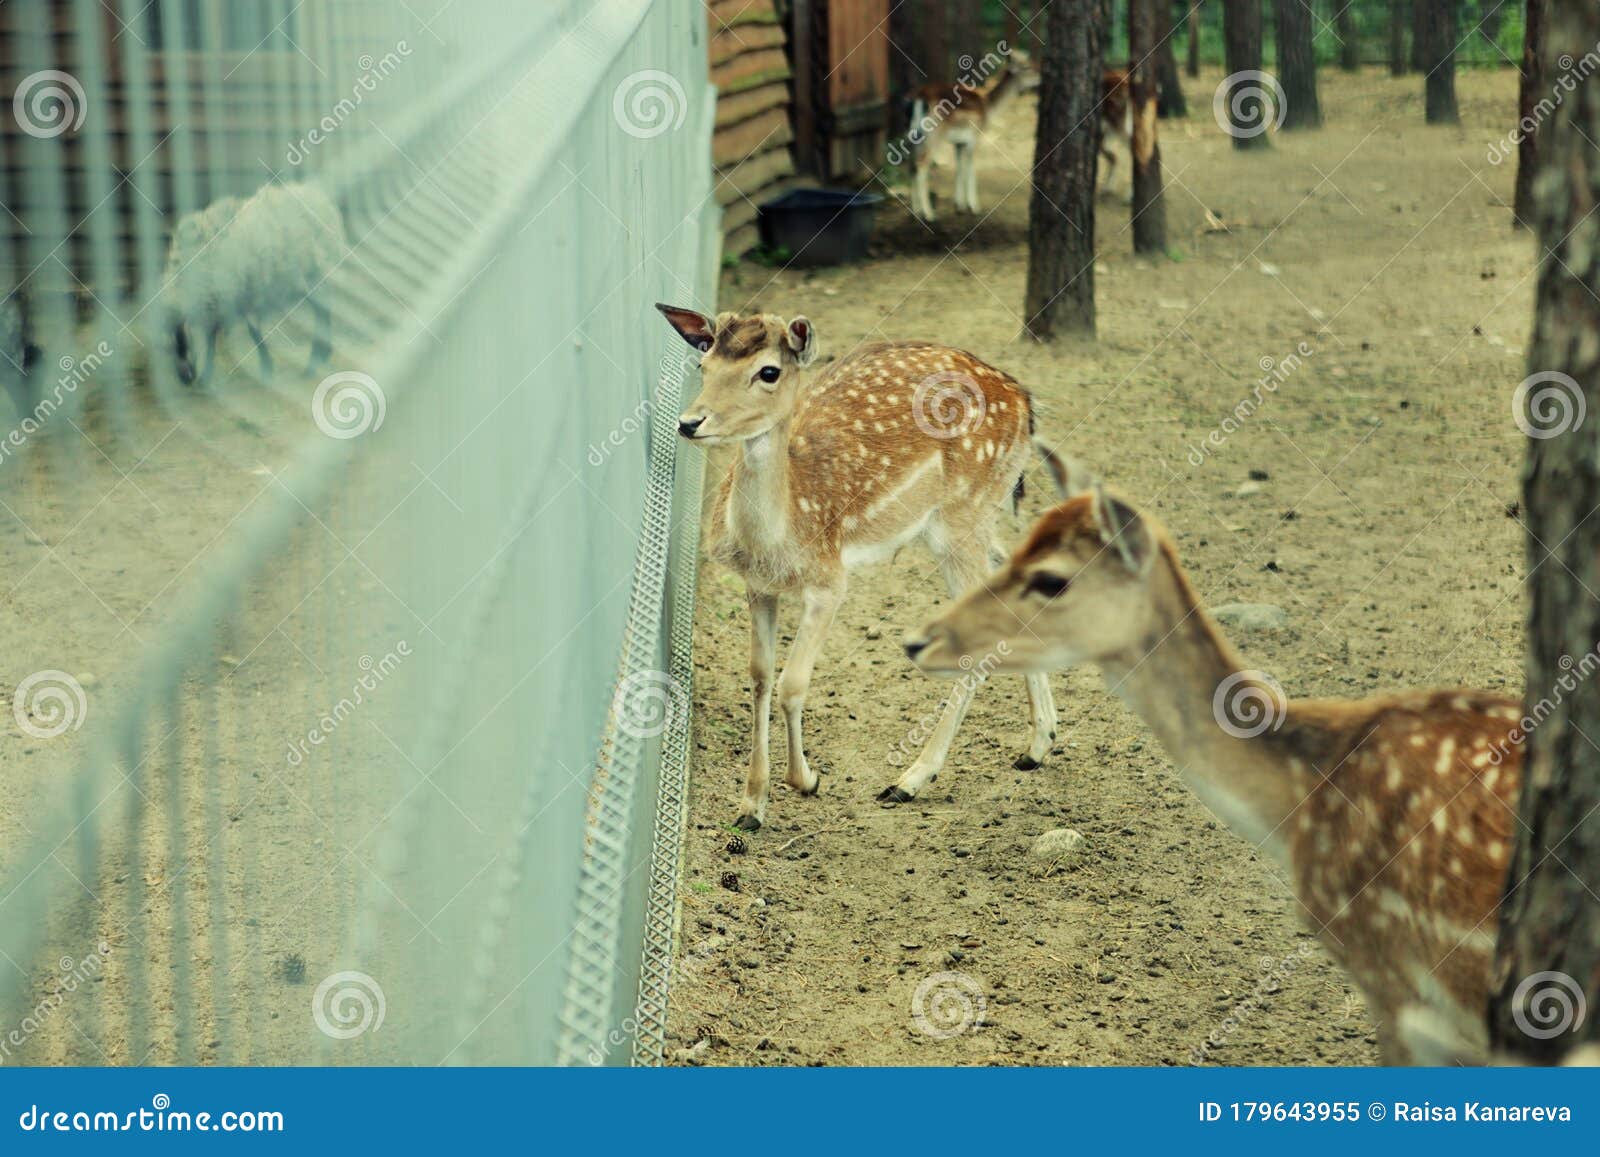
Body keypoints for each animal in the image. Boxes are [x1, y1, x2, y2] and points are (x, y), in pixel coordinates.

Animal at [657, 304, 1058, 832]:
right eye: (703, 365)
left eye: (768, 371)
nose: (690, 422)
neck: (775, 541)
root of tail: (1025, 401)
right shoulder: (758, 585)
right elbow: (761, 677)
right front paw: (750, 806)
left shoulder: (830, 579)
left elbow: (792, 683)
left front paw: (805, 780)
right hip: (972, 518)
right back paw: (1039, 743)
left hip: (962, 515)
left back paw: (910, 780)